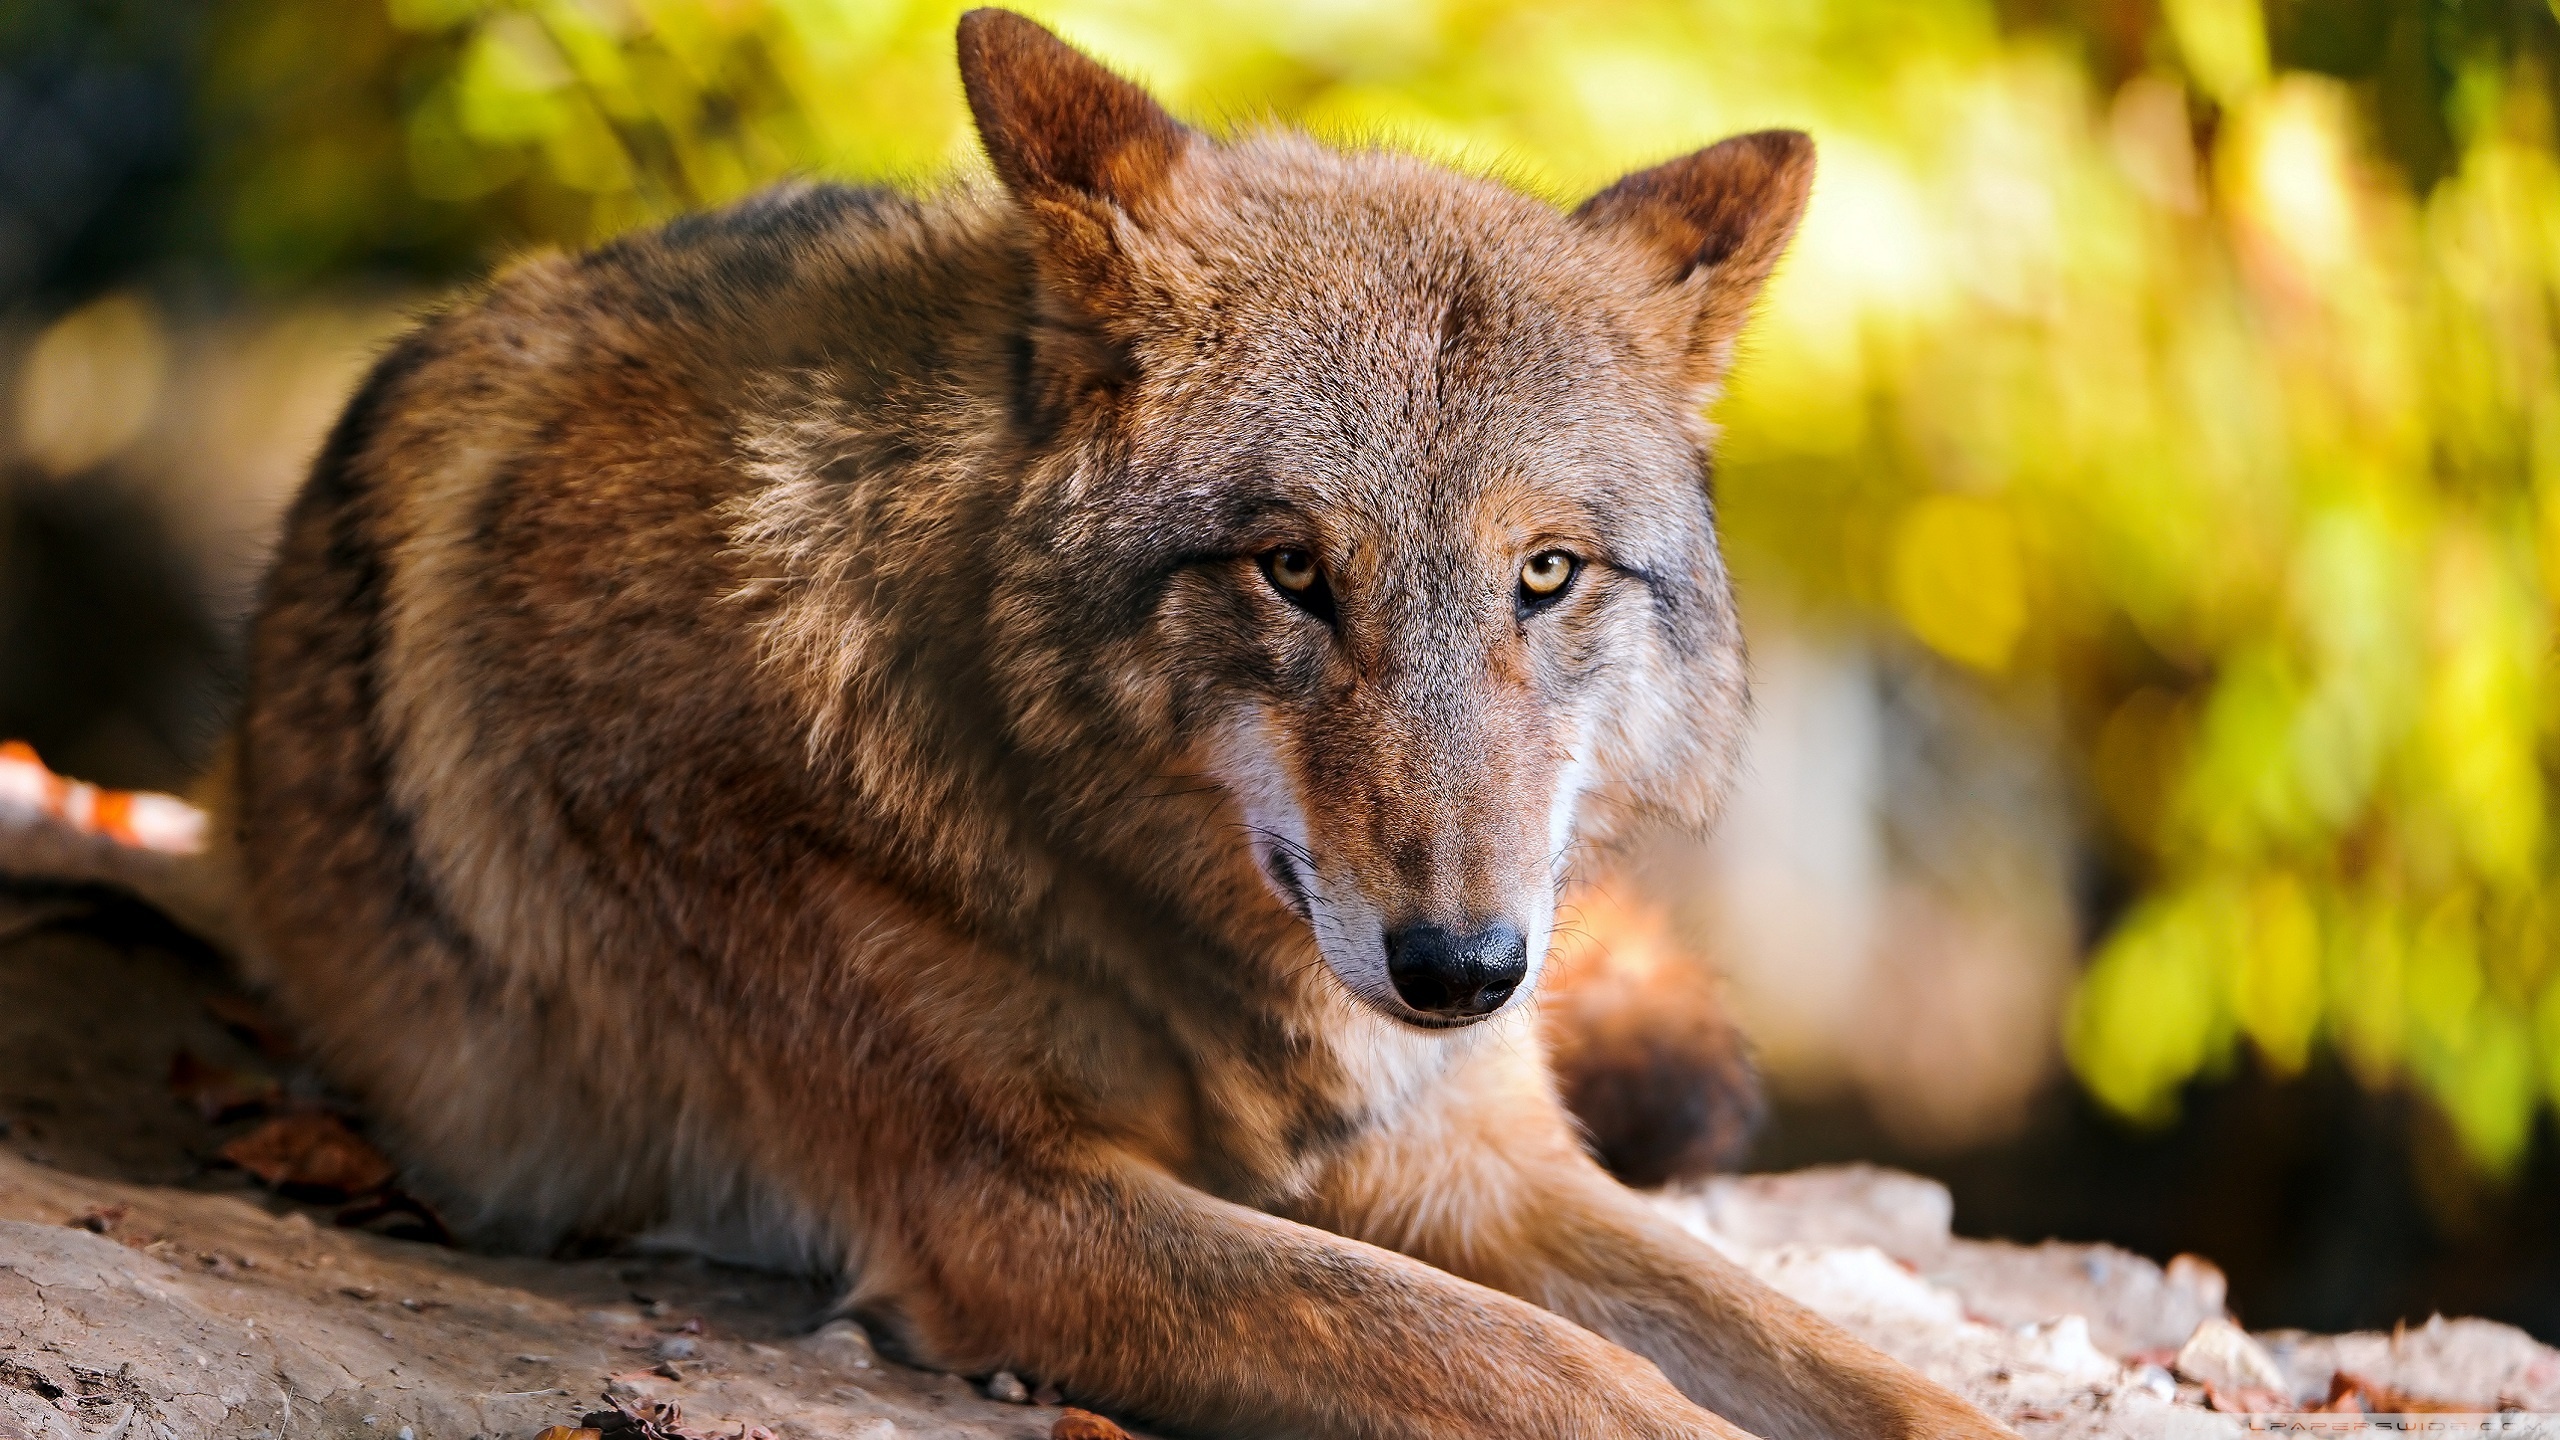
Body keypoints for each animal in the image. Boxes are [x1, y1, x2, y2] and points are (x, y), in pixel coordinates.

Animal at [2, 12, 2009, 1438]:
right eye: (1292, 569)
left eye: (1546, 573)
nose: (1464, 969)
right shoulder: (1012, 1209)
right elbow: (1568, 1378)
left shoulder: (1470, 1159)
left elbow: (1886, 1383)